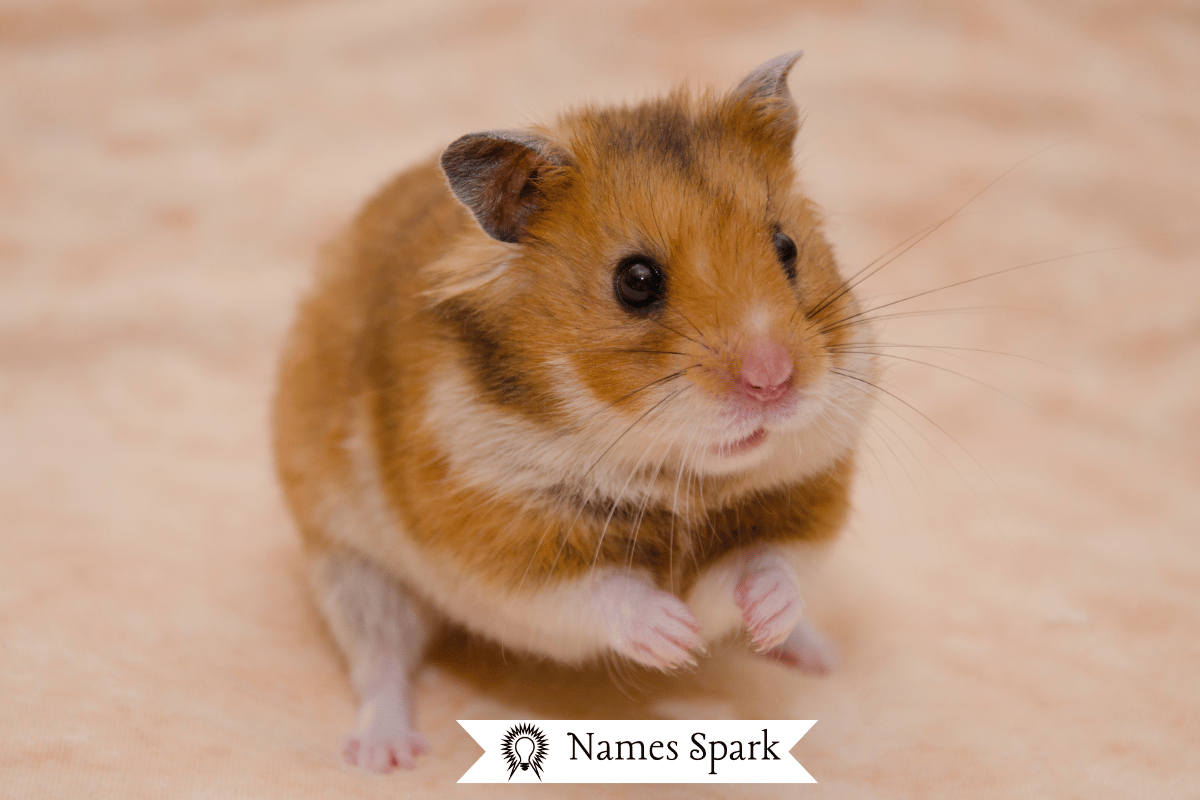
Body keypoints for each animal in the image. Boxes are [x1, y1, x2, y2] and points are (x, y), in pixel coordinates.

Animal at [272, 51, 877, 773]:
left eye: (787, 248)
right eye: (636, 281)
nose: (774, 381)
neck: (678, 476)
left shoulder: (805, 500)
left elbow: (765, 564)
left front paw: (752, 617)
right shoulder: (498, 541)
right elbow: (605, 592)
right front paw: (678, 638)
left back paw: (817, 654)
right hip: (351, 567)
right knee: (379, 661)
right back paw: (384, 755)